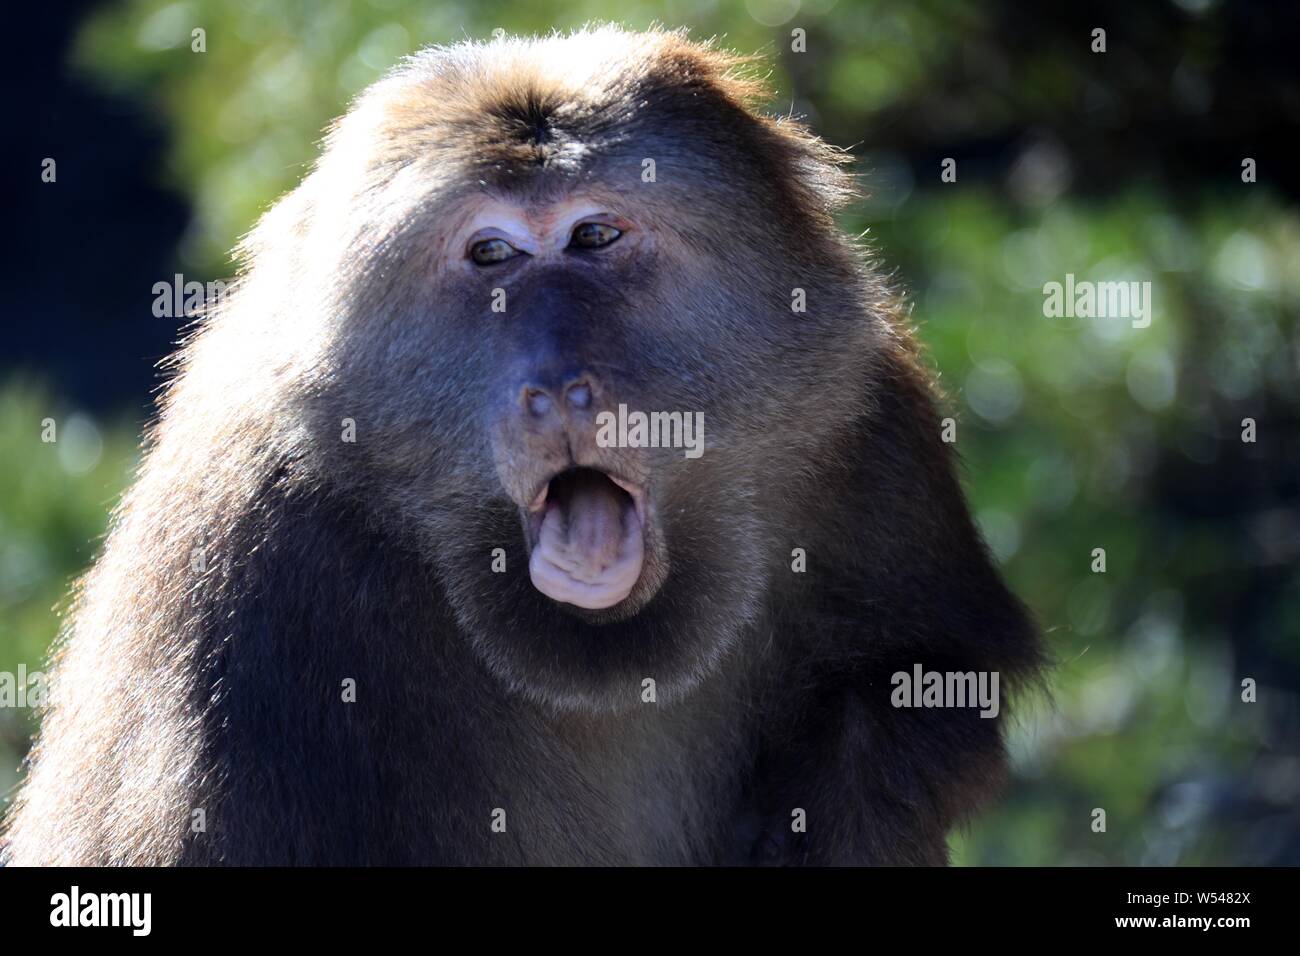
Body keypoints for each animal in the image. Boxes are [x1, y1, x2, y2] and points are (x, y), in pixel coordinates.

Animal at [2, 26, 1044, 866]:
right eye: (493, 254)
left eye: (593, 235)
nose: (558, 387)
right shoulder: (240, 564)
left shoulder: (860, 419)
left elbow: (932, 677)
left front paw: (807, 819)